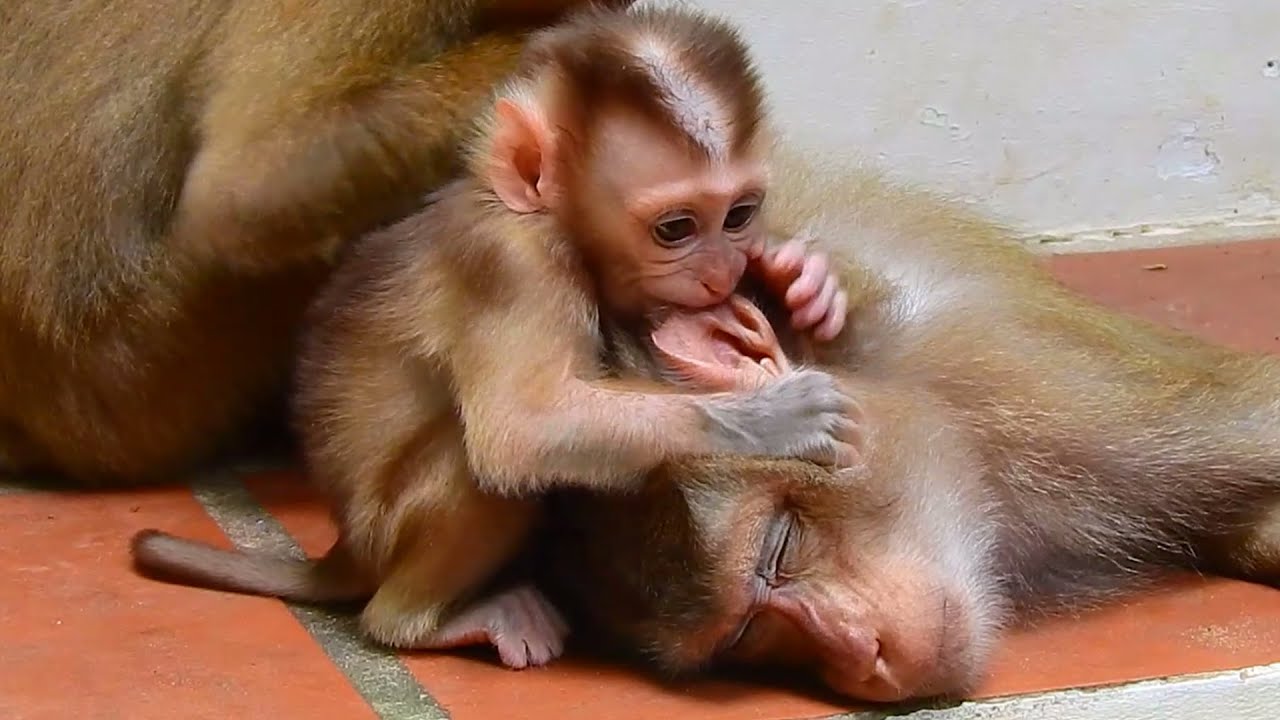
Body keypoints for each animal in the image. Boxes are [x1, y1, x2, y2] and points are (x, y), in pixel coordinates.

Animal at [130, 5, 858, 671]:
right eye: (675, 229)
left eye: (738, 215)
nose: (719, 273)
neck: (549, 224)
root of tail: (343, 548)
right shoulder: (513, 265)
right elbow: (520, 430)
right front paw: (774, 419)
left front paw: (802, 277)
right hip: (389, 532)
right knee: (479, 463)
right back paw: (416, 623)